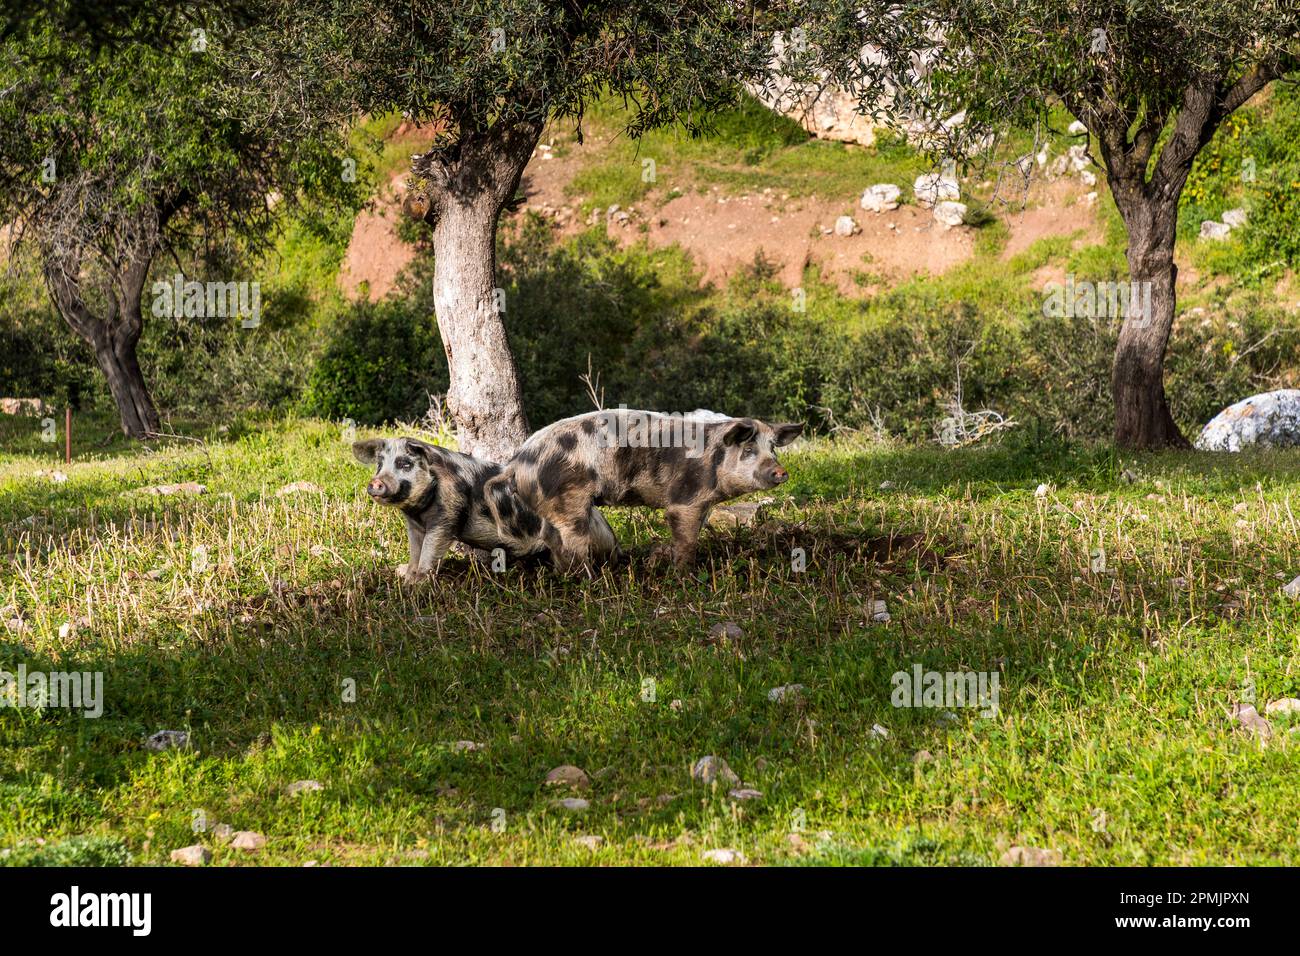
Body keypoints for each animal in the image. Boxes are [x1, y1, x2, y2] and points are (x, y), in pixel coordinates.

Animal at [352, 436, 617, 582]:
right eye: (379, 464)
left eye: (404, 464)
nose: (376, 482)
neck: (419, 510)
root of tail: (611, 537)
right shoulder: (415, 525)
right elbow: (415, 551)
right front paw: (406, 575)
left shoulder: (448, 513)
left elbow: (430, 549)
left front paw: (416, 585)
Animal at [489, 409, 803, 569]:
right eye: (749, 449)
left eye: (773, 448)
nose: (781, 471)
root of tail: (517, 462)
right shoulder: (684, 500)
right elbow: (686, 540)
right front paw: (685, 576)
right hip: (568, 499)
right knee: (571, 541)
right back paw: (589, 581)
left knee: (549, 536)